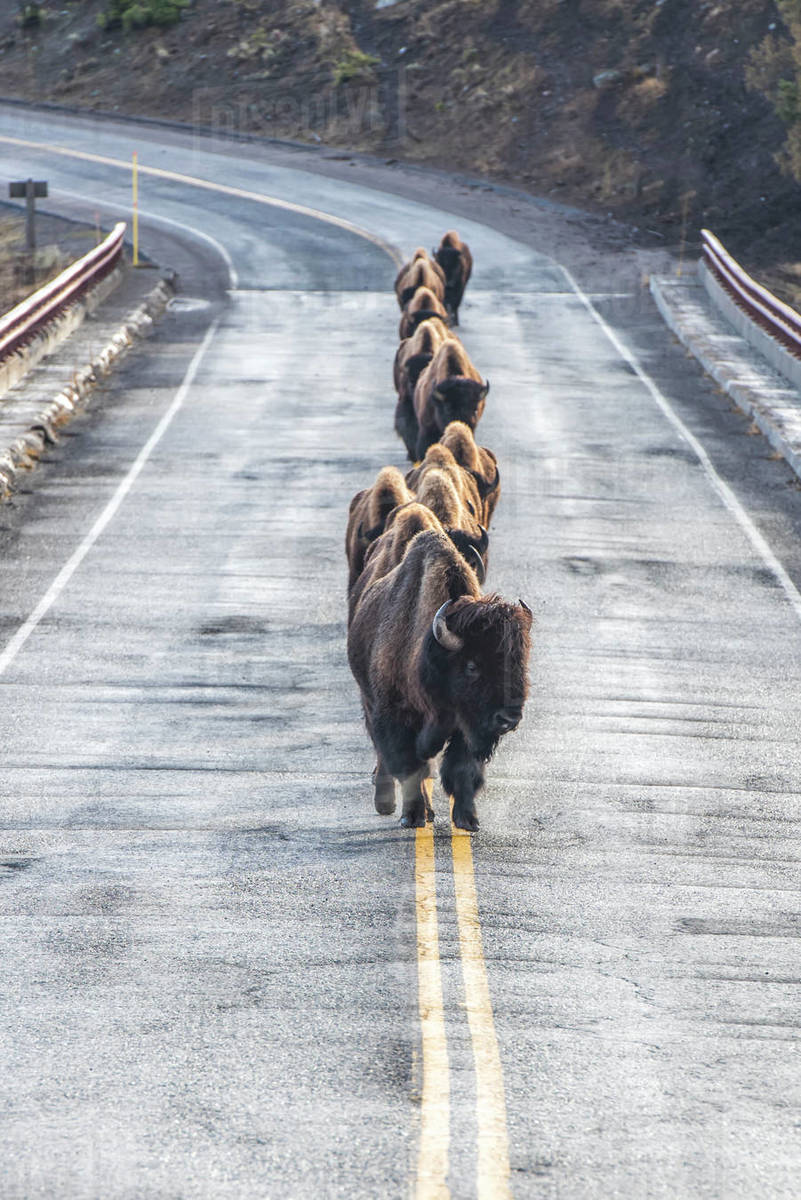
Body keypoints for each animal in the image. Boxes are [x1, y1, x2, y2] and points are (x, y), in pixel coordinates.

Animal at [348, 528, 532, 830]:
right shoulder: (394, 716)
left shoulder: (465, 727)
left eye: (518, 663)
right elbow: (409, 766)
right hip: (368, 700)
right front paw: (412, 816)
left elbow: (460, 769)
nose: (509, 718)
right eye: (472, 666)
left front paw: (468, 820)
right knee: (385, 754)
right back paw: (388, 803)